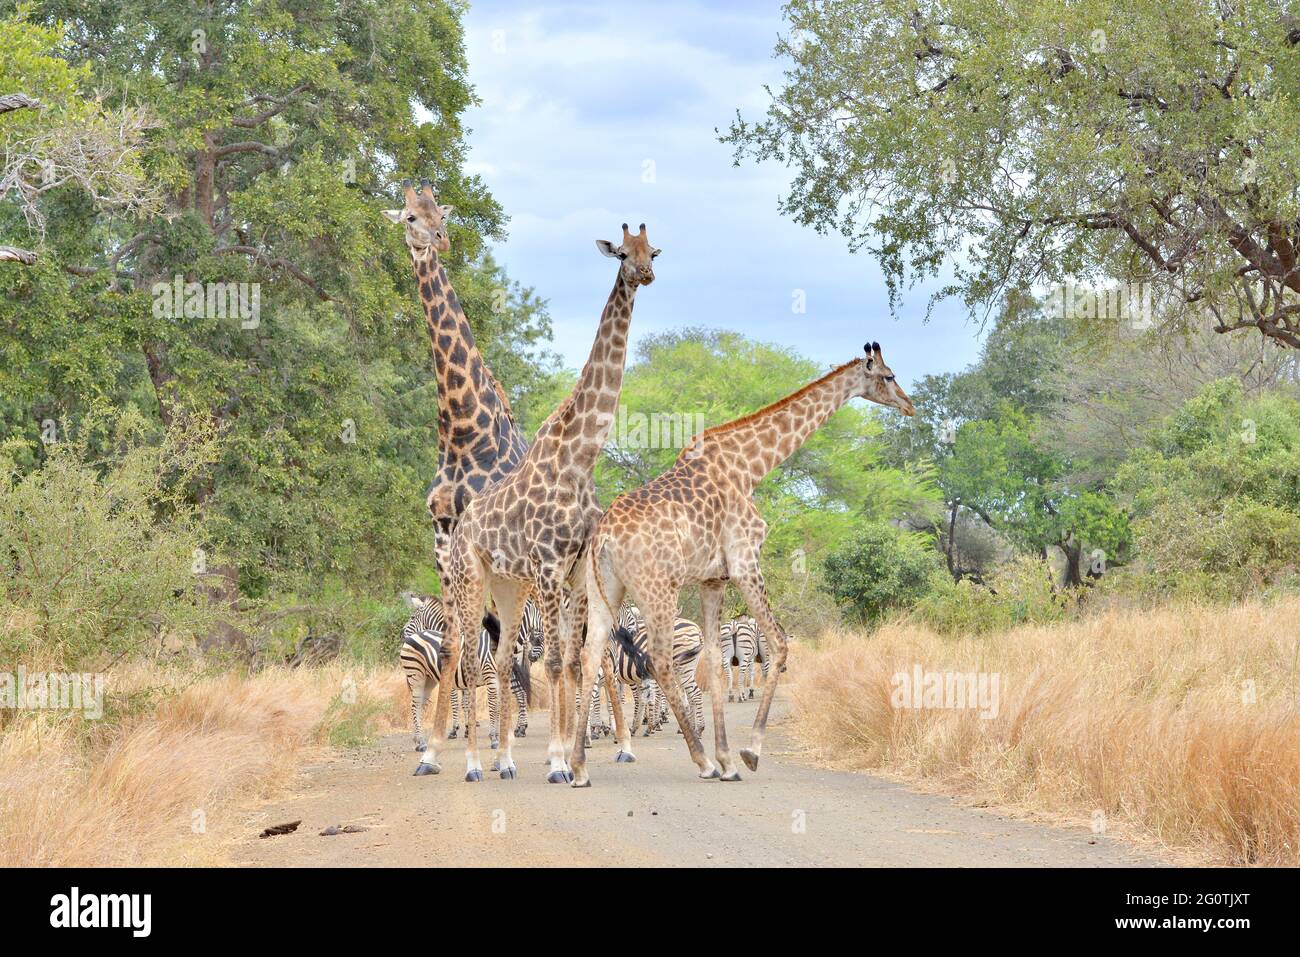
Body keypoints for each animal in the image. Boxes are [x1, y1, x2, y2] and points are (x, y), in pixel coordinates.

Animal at [417, 223, 660, 783]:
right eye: (623, 252)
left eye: (654, 251)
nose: (645, 274)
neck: (580, 456)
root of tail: (464, 523)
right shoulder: (549, 567)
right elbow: (551, 663)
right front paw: (556, 763)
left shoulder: (574, 572)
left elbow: (570, 661)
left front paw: (569, 757)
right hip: (471, 575)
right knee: (468, 656)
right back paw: (471, 764)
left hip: (510, 586)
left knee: (510, 656)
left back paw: (510, 759)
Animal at [572, 342, 915, 787]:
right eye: (889, 376)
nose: (909, 405)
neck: (750, 465)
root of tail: (604, 538)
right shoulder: (745, 561)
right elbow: (780, 643)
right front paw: (748, 753)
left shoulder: (713, 579)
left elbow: (715, 661)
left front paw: (728, 760)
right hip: (657, 588)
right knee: (659, 661)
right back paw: (699, 761)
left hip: (604, 589)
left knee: (590, 656)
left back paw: (579, 767)